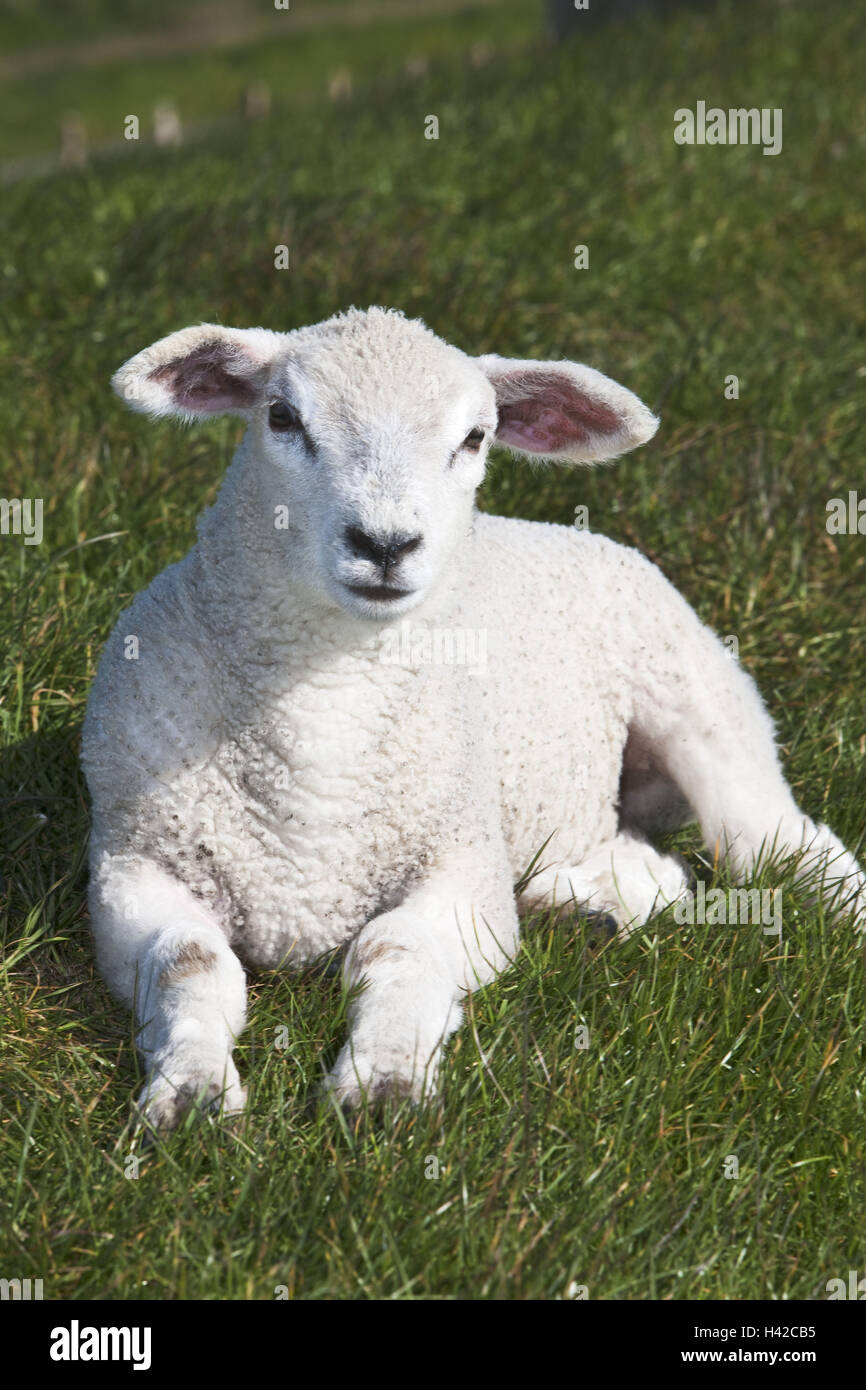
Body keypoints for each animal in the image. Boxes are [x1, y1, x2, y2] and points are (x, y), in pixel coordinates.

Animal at [82, 306, 866, 1134]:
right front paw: (191, 1094)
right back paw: (587, 903)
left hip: (696, 690)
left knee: (774, 843)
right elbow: (189, 960)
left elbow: (397, 949)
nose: (386, 544)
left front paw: (385, 1085)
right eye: (283, 417)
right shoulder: (132, 865)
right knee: (669, 864)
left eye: (475, 438)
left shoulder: (463, 865)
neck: (320, 723)